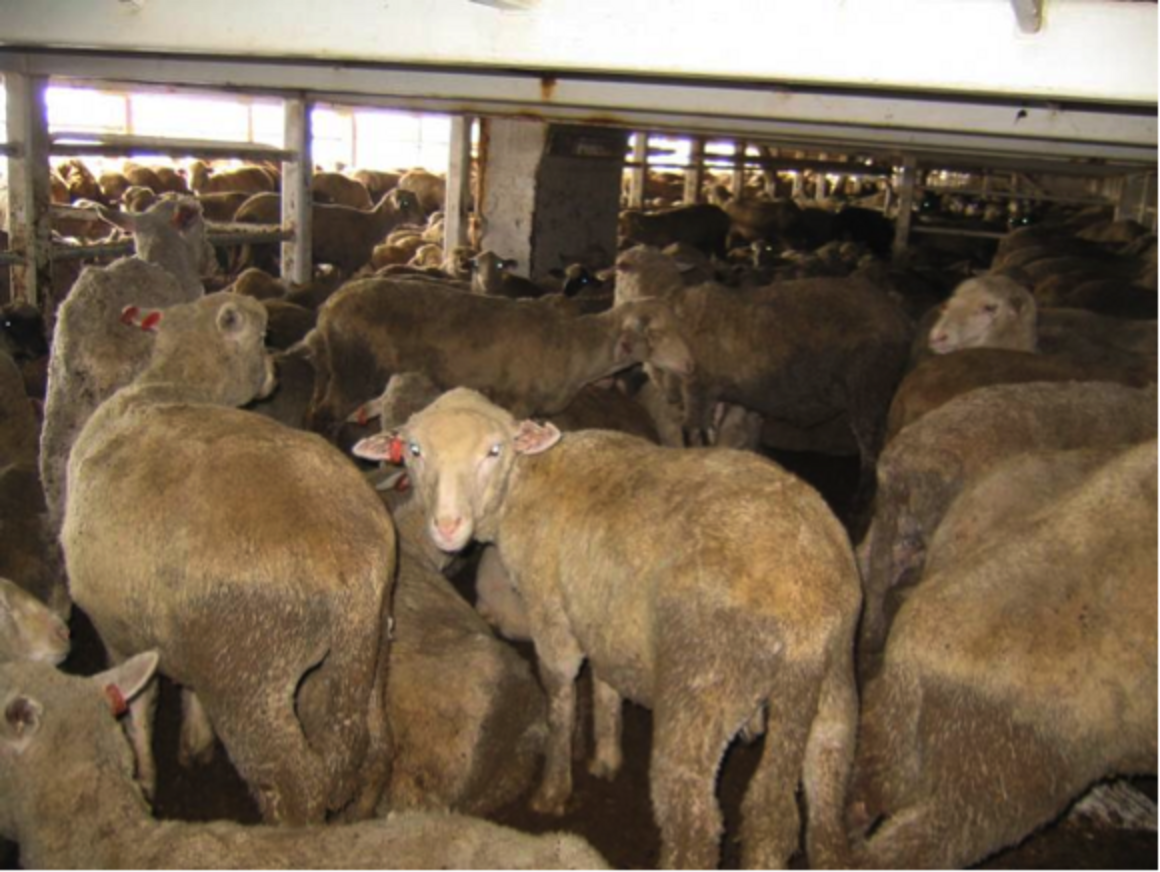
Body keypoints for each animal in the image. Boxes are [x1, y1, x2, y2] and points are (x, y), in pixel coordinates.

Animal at [63, 293, 396, 825]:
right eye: (260, 337)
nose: (272, 371)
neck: (169, 383)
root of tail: (352, 563)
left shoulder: (117, 629)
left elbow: (140, 705)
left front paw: (147, 776)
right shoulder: (178, 633)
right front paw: (194, 743)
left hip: (250, 676)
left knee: (298, 785)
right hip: (369, 648)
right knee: (377, 750)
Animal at [305, 277, 694, 436]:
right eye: (658, 333)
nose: (690, 365)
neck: (574, 348)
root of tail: (330, 306)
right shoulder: (516, 403)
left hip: (330, 371)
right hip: (354, 372)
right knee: (325, 415)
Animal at [353, 387, 862, 872]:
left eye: (493, 450)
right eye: (415, 450)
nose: (447, 526)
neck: (527, 482)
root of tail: (805, 606)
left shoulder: (551, 610)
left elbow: (561, 698)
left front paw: (554, 790)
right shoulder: (601, 610)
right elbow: (605, 682)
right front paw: (606, 757)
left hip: (705, 687)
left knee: (694, 822)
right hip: (834, 682)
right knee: (814, 794)